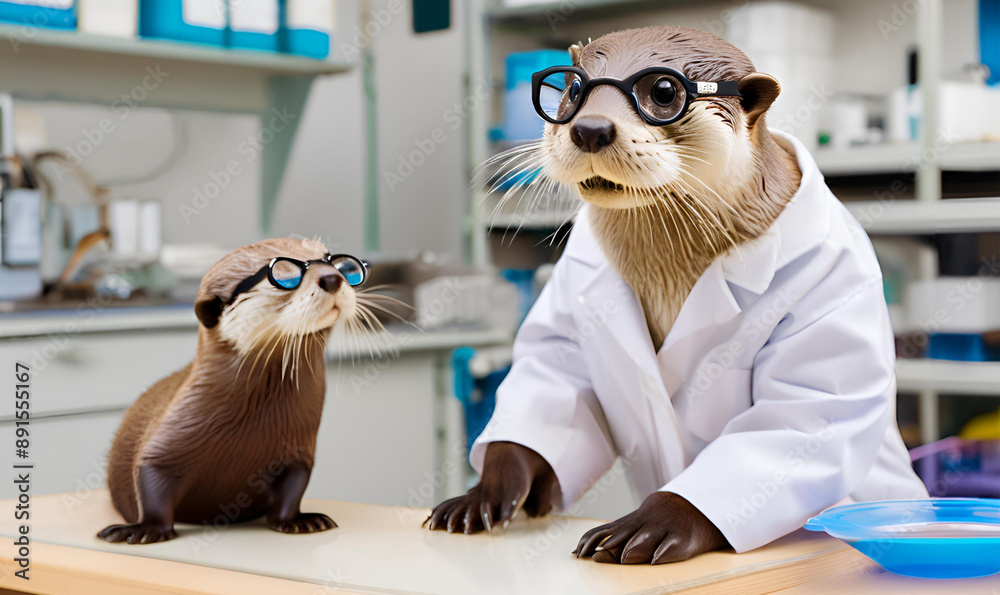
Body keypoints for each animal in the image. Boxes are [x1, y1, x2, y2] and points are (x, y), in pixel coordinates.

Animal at [98, 238, 374, 544]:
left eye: (338, 264)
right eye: (285, 276)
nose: (332, 278)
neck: (256, 423)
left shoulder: (299, 449)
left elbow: (294, 487)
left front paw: (299, 520)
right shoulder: (172, 434)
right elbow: (150, 477)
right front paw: (145, 529)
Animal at [428, 27, 802, 563]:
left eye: (663, 92)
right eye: (572, 89)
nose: (589, 128)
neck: (666, 272)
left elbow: (789, 421)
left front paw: (652, 523)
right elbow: (552, 372)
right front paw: (486, 491)